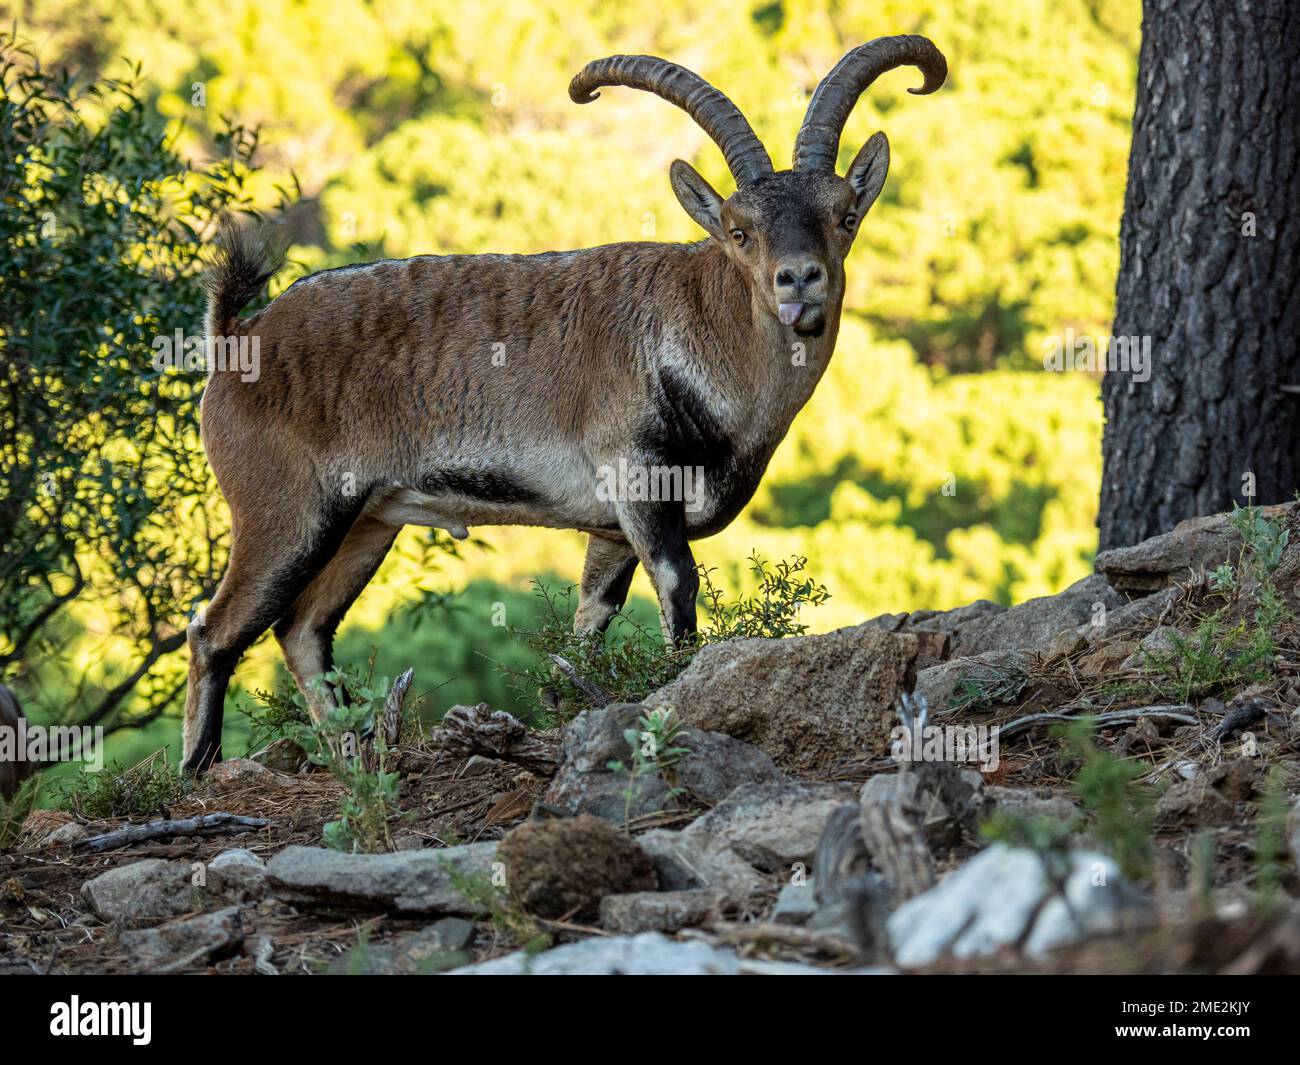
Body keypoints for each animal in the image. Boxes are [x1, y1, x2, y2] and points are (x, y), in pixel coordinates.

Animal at [182, 36, 948, 771]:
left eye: (844, 215)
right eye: (739, 230)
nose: (799, 280)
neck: (700, 328)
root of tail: (237, 337)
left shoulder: (610, 529)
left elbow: (589, 622)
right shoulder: (641, 481)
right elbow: (679, 588)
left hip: (365, 522)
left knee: (302, 628)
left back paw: (354, 757)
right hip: (286, 512)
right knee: (215, 631)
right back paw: (200, 769)